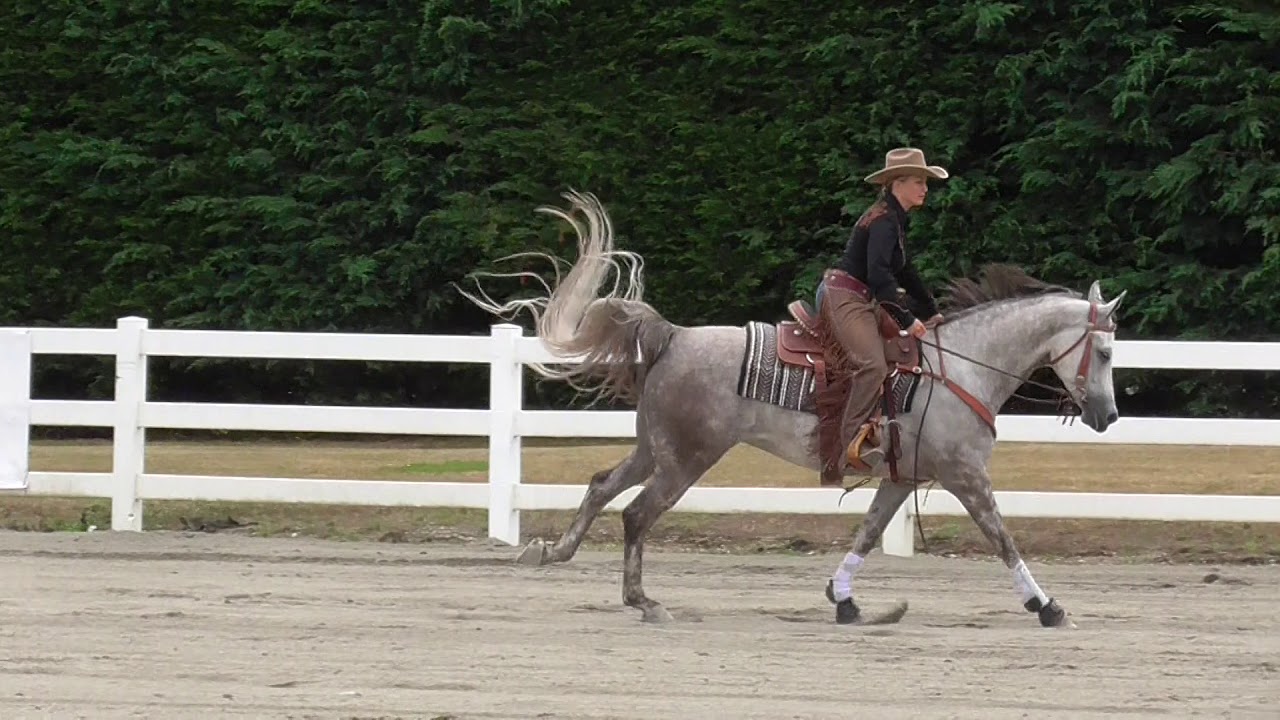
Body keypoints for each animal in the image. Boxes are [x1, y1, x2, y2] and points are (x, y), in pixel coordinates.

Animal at [459, 190, 1125, 627]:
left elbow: (868, 531)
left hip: (655, 448)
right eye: (1106, 350)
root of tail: (674, 335)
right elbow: (1002, 537)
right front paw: (1047, 606)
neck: (962, 365)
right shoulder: (965, 475)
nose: (1108, 417)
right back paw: (644, 602)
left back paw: (554, 553)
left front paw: (844, 599)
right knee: (637, 514)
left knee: (601, 486)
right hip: (687, 459)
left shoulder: (903, 477)